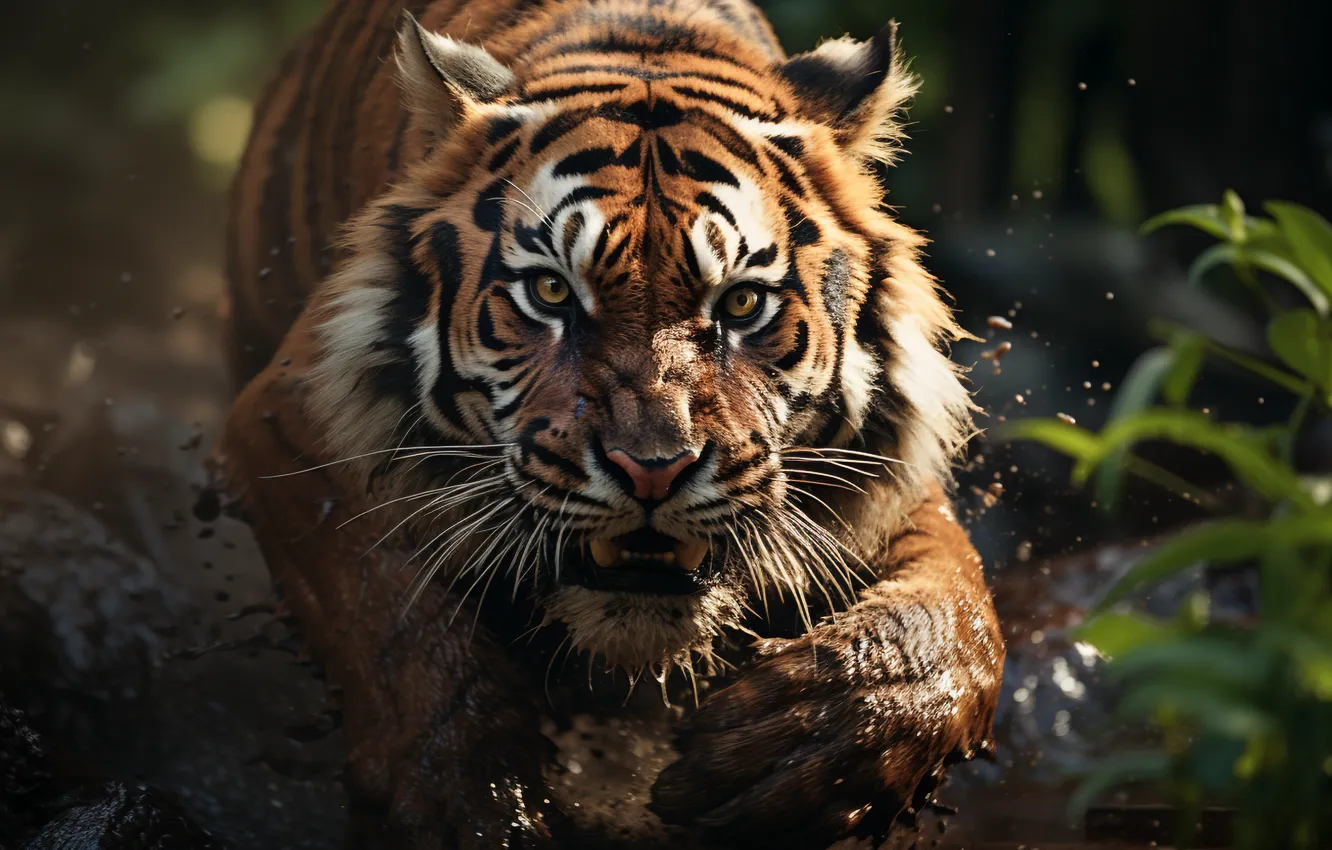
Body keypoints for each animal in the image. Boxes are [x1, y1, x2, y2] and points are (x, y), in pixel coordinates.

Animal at [212, 0, 1006, 847]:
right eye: (552, 293)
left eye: (740, 303)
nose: (652, 469)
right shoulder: (289, 423)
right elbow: (392, 618)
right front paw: (476, 797)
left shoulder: (883, 477)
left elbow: (954, 611)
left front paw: (803, 749)